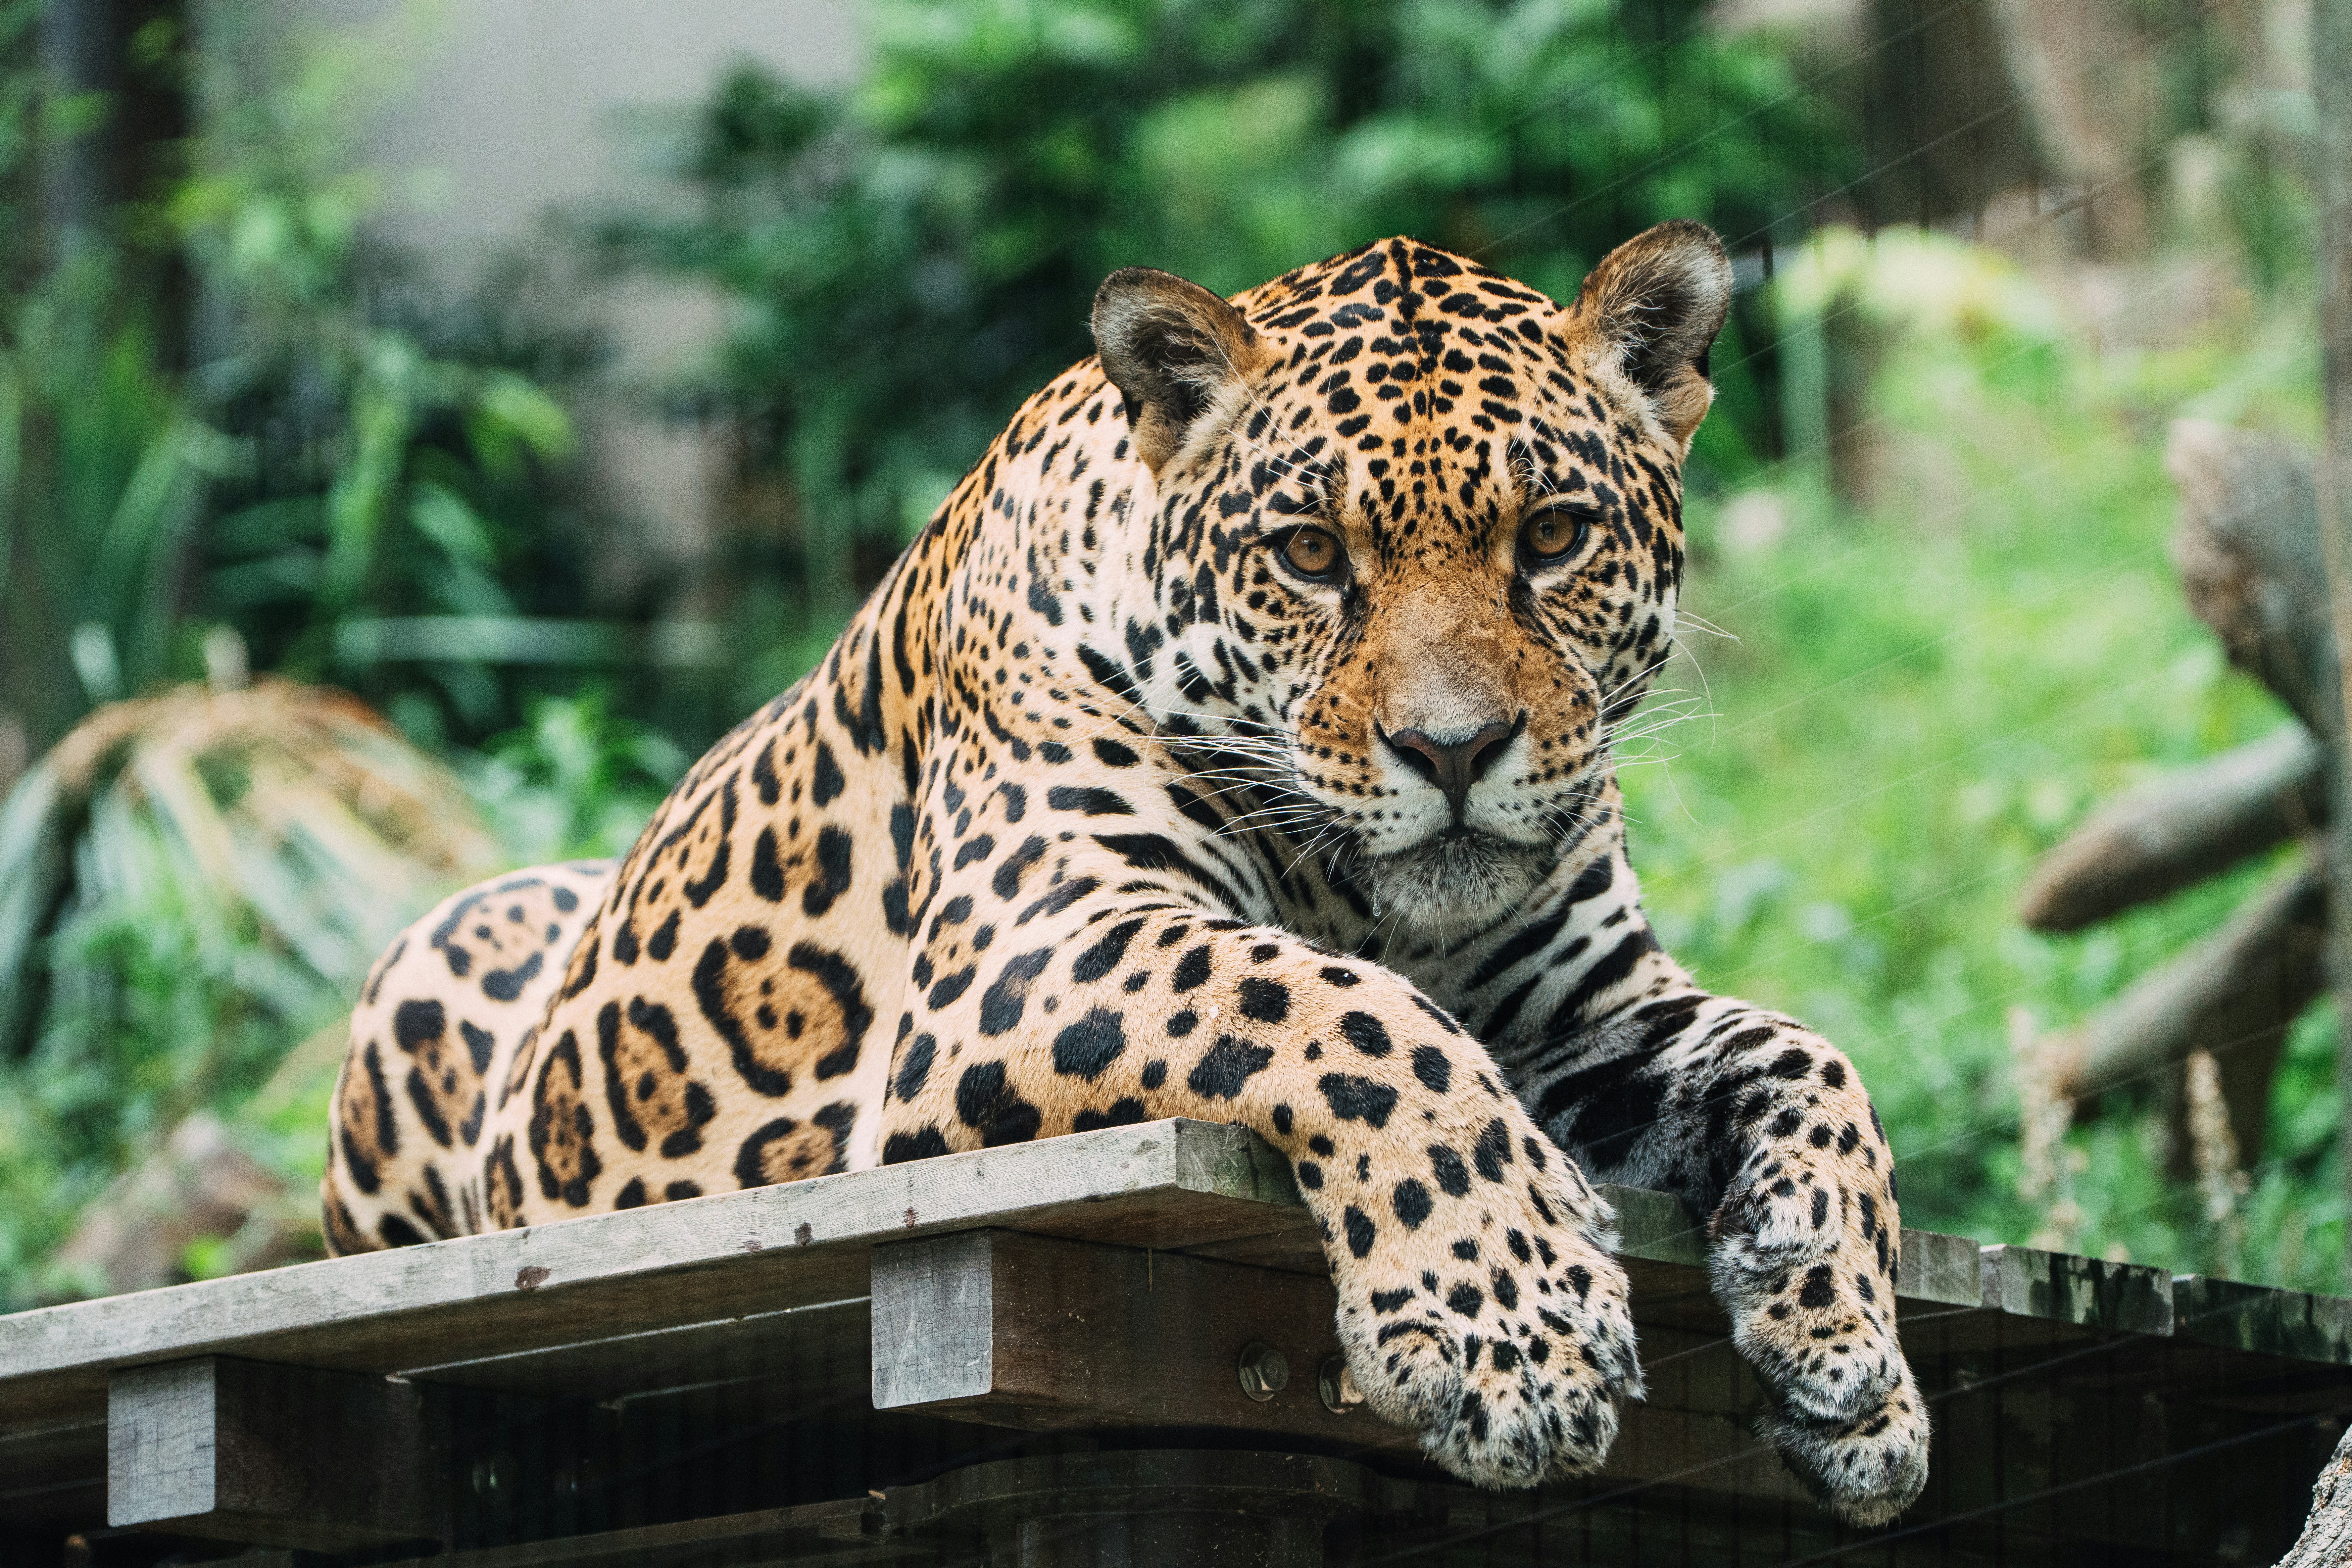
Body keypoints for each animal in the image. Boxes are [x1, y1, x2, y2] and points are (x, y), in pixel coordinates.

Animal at [323, 221, 1928, 1525]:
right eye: (1308, 552)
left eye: (1552, 536)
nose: (1454, 748)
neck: (1372, 899)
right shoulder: (1033, 941)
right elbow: (1354, 1015)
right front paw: (1511, 1326)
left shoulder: (1581, 1011)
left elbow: (1810, 1057)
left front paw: (1853, 1358)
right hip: (444, 938)